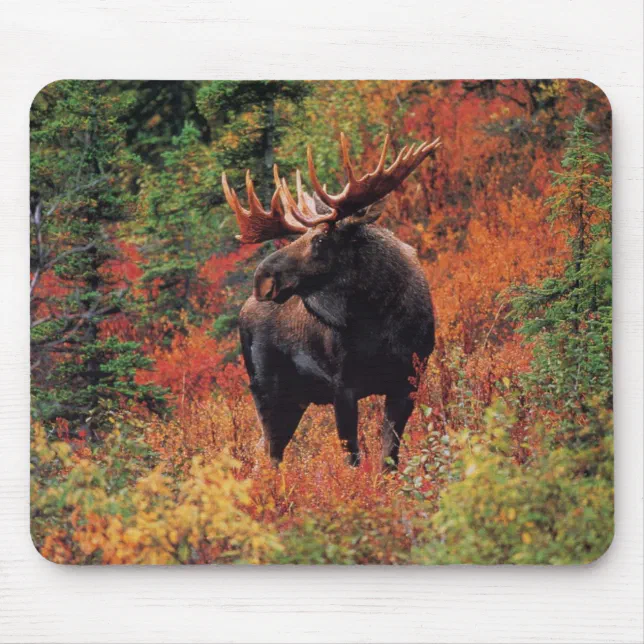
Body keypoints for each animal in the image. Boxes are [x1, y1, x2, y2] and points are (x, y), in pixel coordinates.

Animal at [221, 132, 440, 470]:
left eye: (320, 239)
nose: (263, 278)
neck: (383, 321)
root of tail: (244, 311)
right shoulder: (343, 386)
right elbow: (353, 458)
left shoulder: (409, 378)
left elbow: (388, 455)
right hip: (266, 389)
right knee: (269, 454)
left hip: (294, 398)